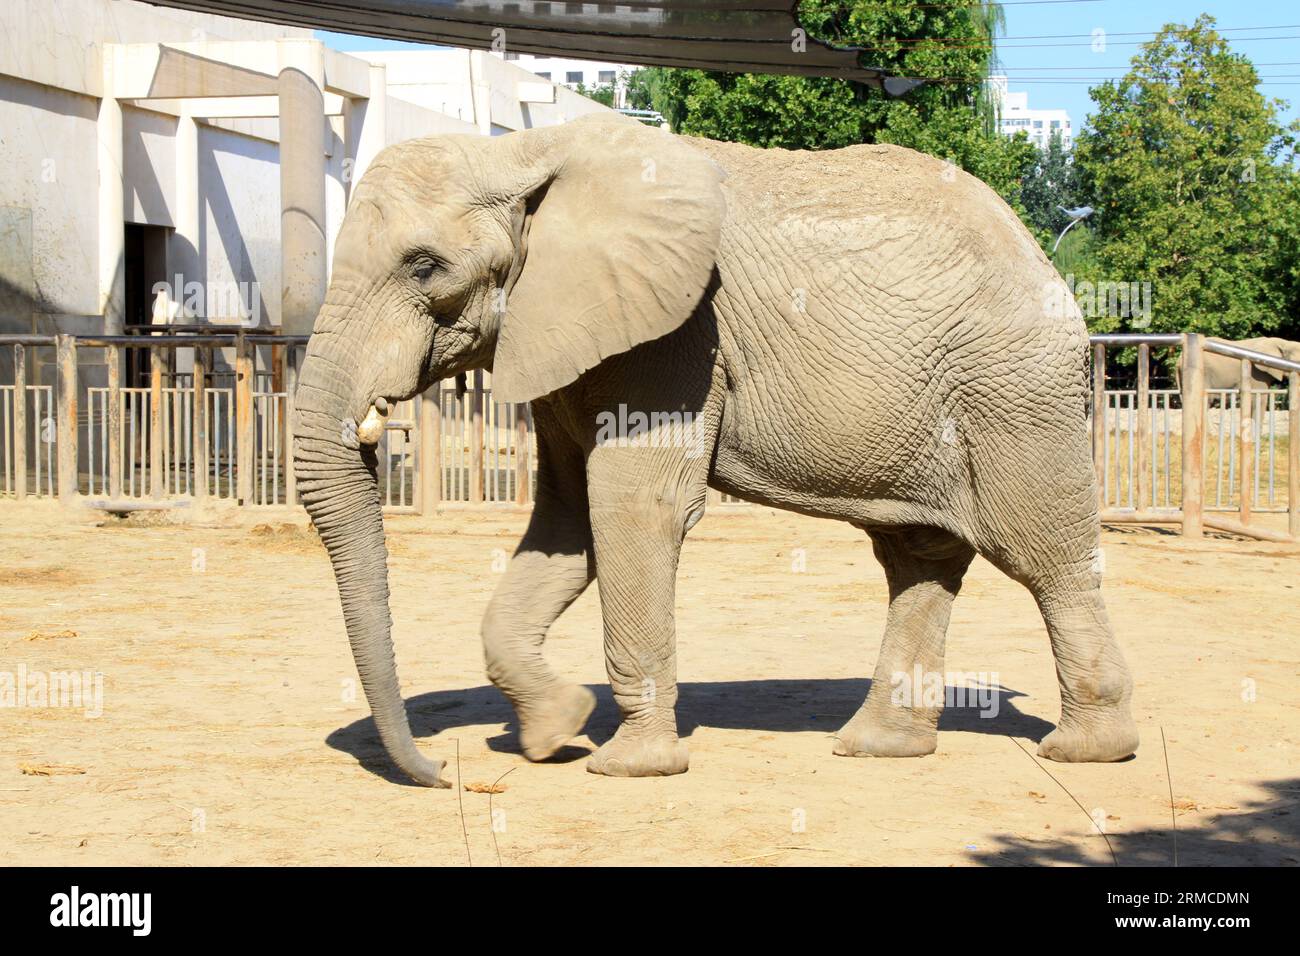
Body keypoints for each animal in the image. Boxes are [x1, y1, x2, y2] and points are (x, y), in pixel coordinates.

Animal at [293, 114, 1139, 788]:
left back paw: (1086, 752)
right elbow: (569, 521)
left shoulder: (677, 332)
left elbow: (633, 505)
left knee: (1043, 556)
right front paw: (555, 728)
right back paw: (877, 747)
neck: (520, 153)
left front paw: (626, 767)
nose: (442, 773)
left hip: (1013, 390)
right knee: (918, 557)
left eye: (423, 266)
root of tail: (1043, 256)